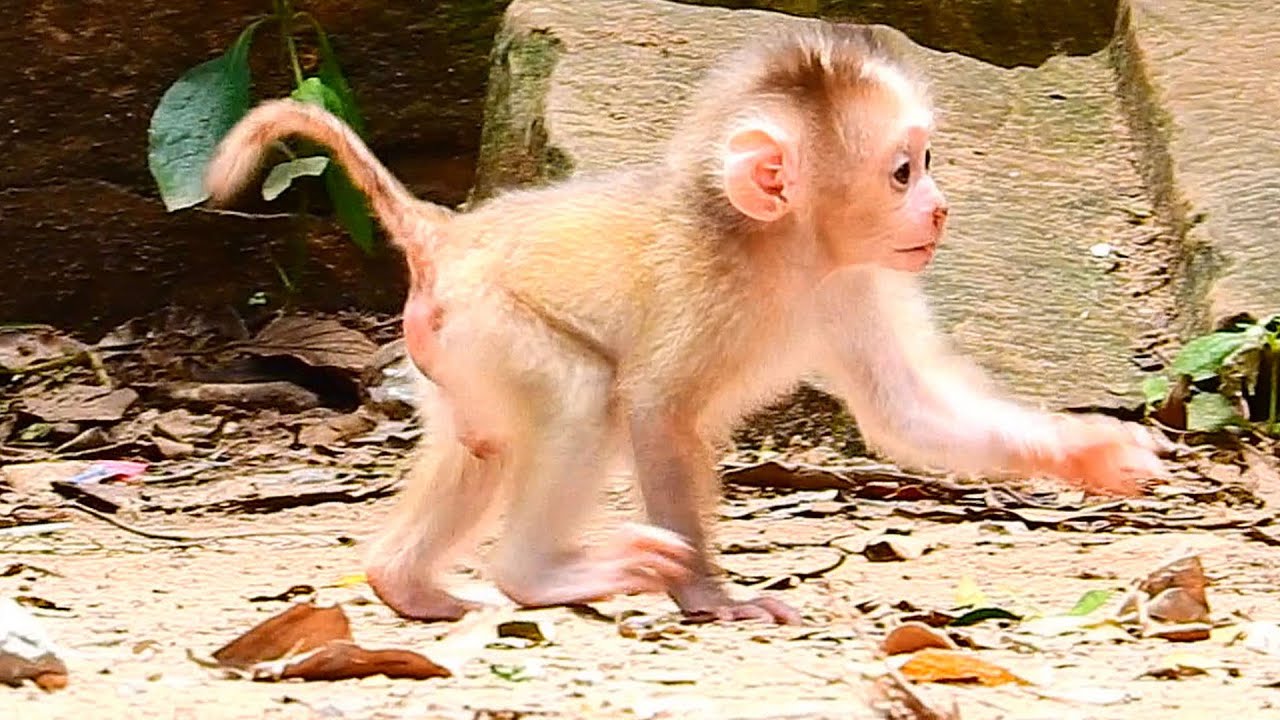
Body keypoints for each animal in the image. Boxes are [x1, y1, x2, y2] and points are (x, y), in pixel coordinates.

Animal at [204, 21, 1167, 626]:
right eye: (903, 171)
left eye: (926, 161)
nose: (937, 208)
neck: (782, 249)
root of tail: (448, 233)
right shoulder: (714, 288)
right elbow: (656, 410)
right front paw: (712, 596)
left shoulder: (855, 281)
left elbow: (907, 413)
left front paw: (1093, 452)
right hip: (489, 323)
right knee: (582, 399)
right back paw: (535, 576)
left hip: (453, 349)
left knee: (486, 445)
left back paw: (406, 585)